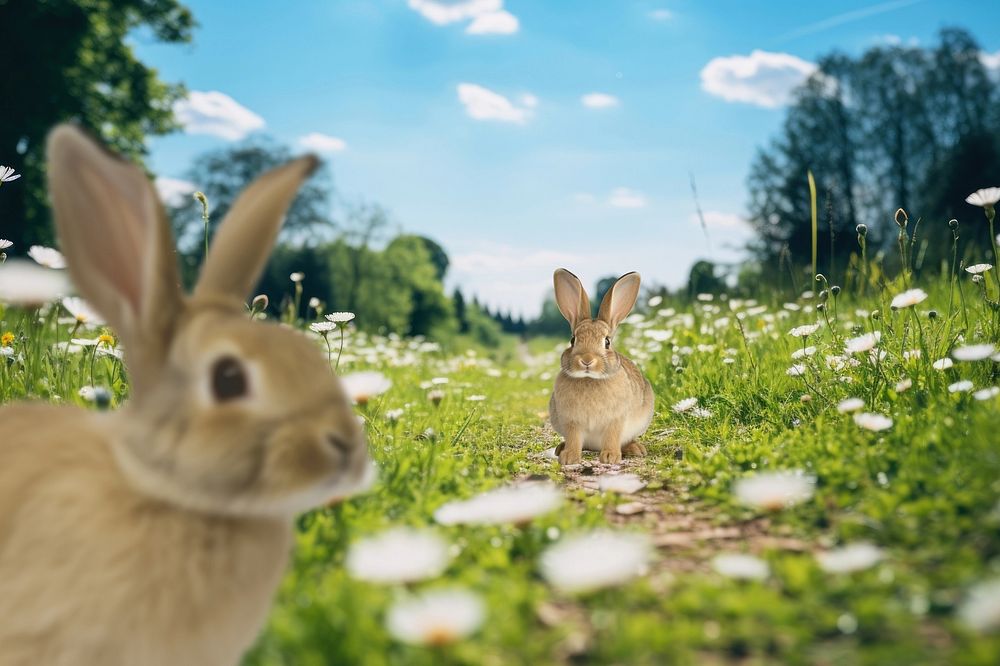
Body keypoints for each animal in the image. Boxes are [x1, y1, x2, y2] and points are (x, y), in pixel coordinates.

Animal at [549, 269, 654, 466]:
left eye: (607, 342)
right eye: (573, 340)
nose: (587, 360)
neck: (589, 379)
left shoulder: (616, 419)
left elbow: (612, 436)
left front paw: (610, 457)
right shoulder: (572, 421)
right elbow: (574, 438)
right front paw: (569, 458)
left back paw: (635, 449)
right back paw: (560, 449)